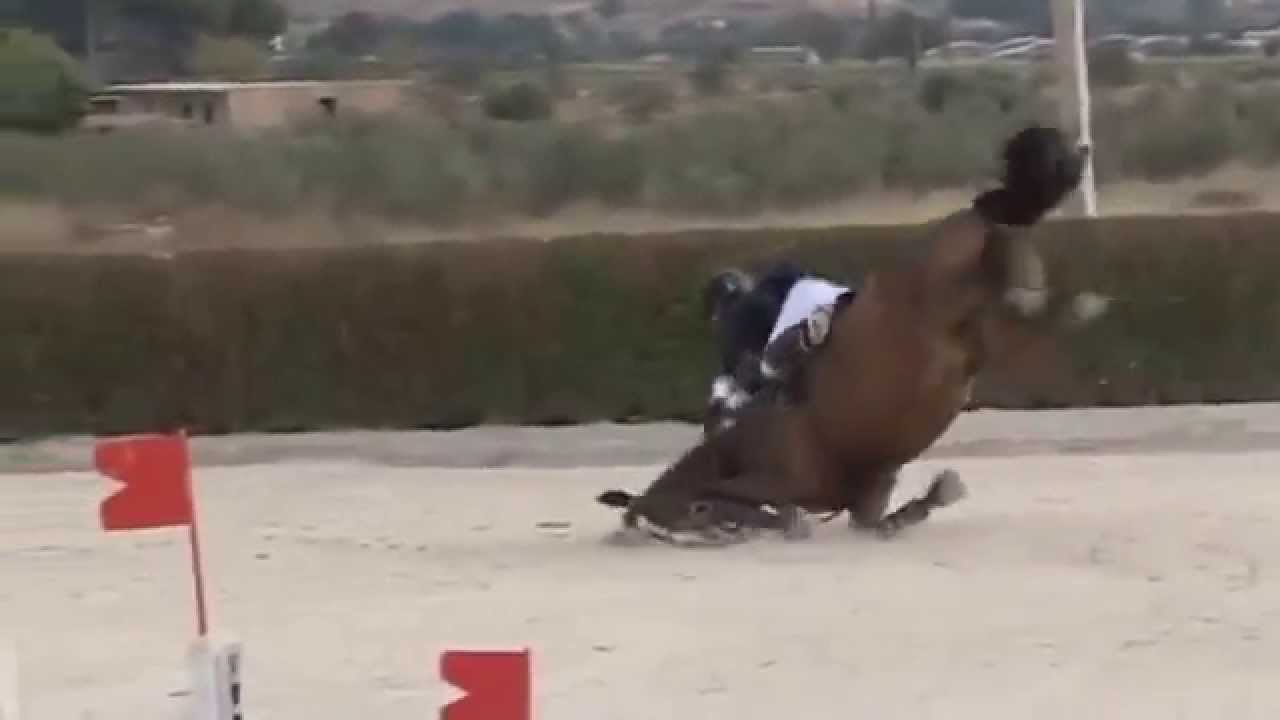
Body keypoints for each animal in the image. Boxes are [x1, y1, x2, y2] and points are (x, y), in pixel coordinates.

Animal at [598, 125, 1107, 545]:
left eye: (654, 523)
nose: (632, 533)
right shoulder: (863, 489)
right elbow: (873, 517)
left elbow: (745, 501)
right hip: (976, 332)